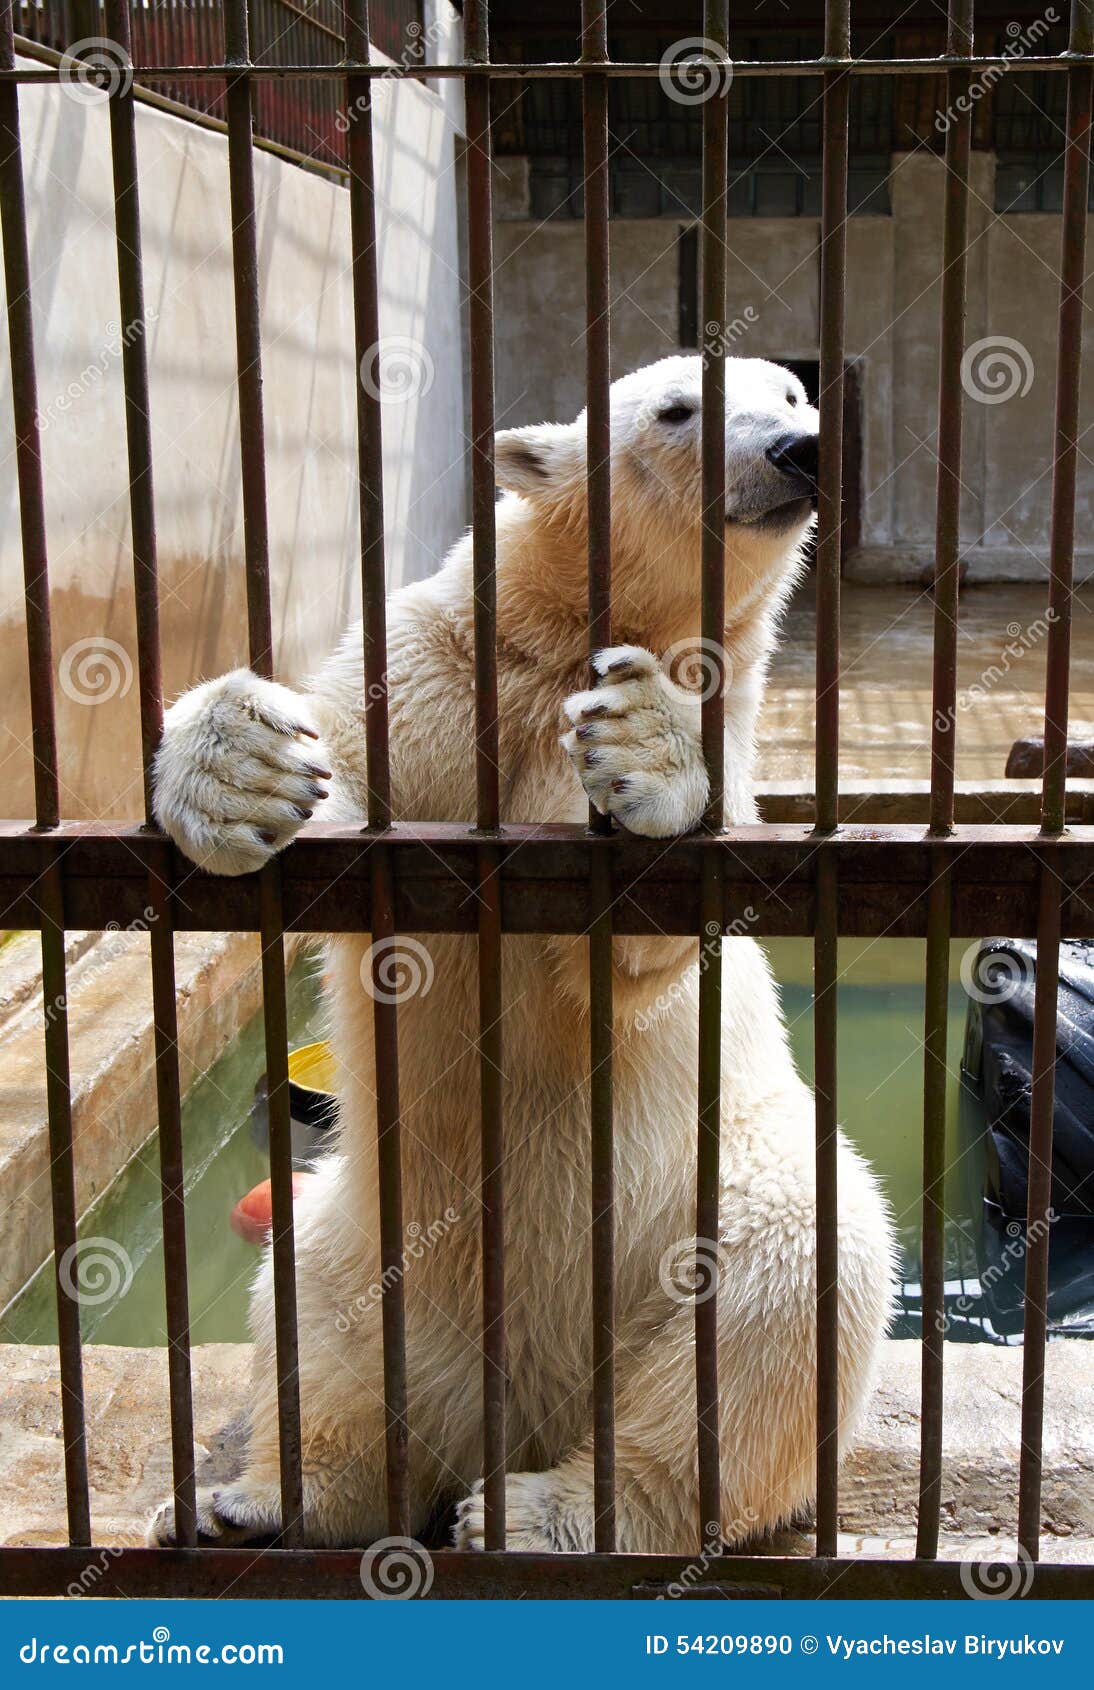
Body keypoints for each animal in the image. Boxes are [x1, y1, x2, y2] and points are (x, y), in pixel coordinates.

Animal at [147, 354, 895, 1553]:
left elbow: (635, 946)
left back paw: (554, 1509)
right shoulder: (439, 665)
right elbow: (342, 789)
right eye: (678, 408)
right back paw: (258, 1502)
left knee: (792, 1280)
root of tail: (525, 1402)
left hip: (700, 1212)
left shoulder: (729, 730)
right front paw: (239, 764)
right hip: (372, 1245)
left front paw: (642, 747)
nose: (800, 449)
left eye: (791, 393)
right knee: (310, 1315)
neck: (570, 637)